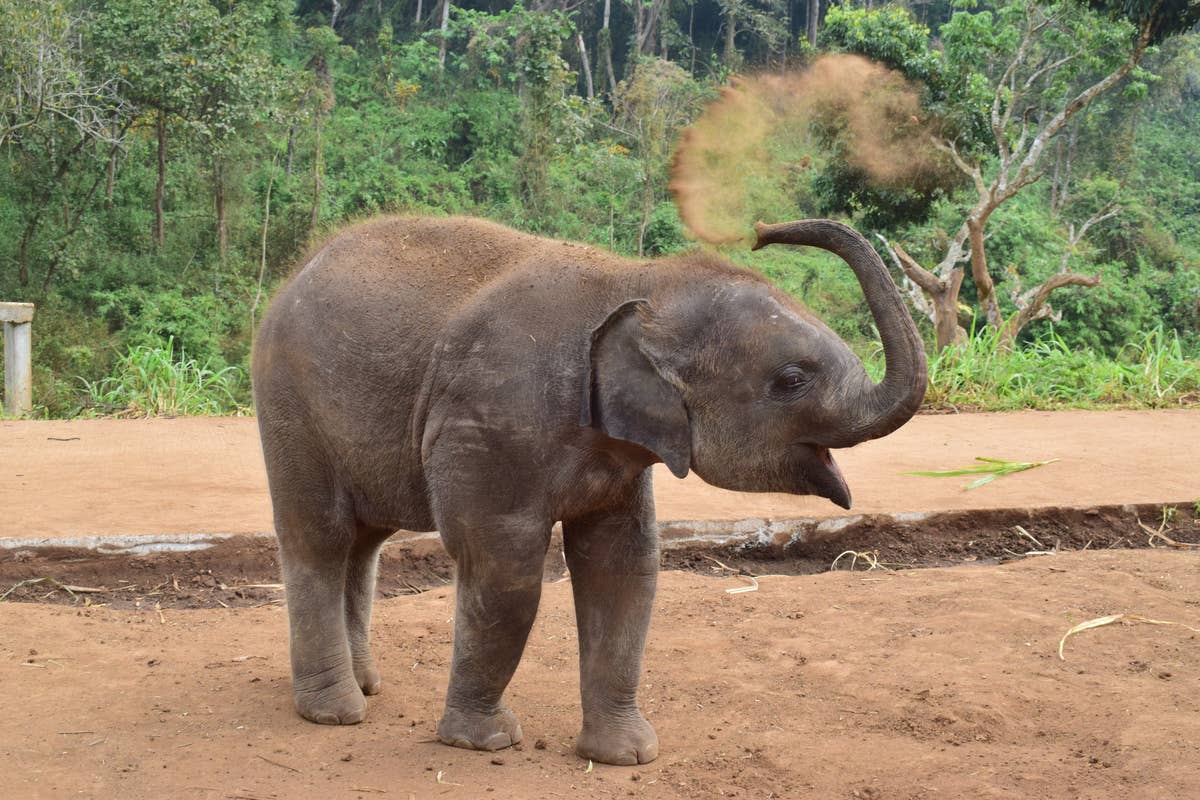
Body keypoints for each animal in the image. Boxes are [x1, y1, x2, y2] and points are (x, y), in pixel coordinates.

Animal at [251, 215, 926, 766]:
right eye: (790, 381)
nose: (761, 231)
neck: (636, 279)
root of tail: (291, 276)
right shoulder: (491, 421)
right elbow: (504, 568)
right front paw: (483, 742)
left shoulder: (621, 449)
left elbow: (622, 566)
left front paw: (625, 756)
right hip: (288, 404)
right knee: (321, 536)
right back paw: (336, 712)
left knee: (364, 542)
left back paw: (367, 686)